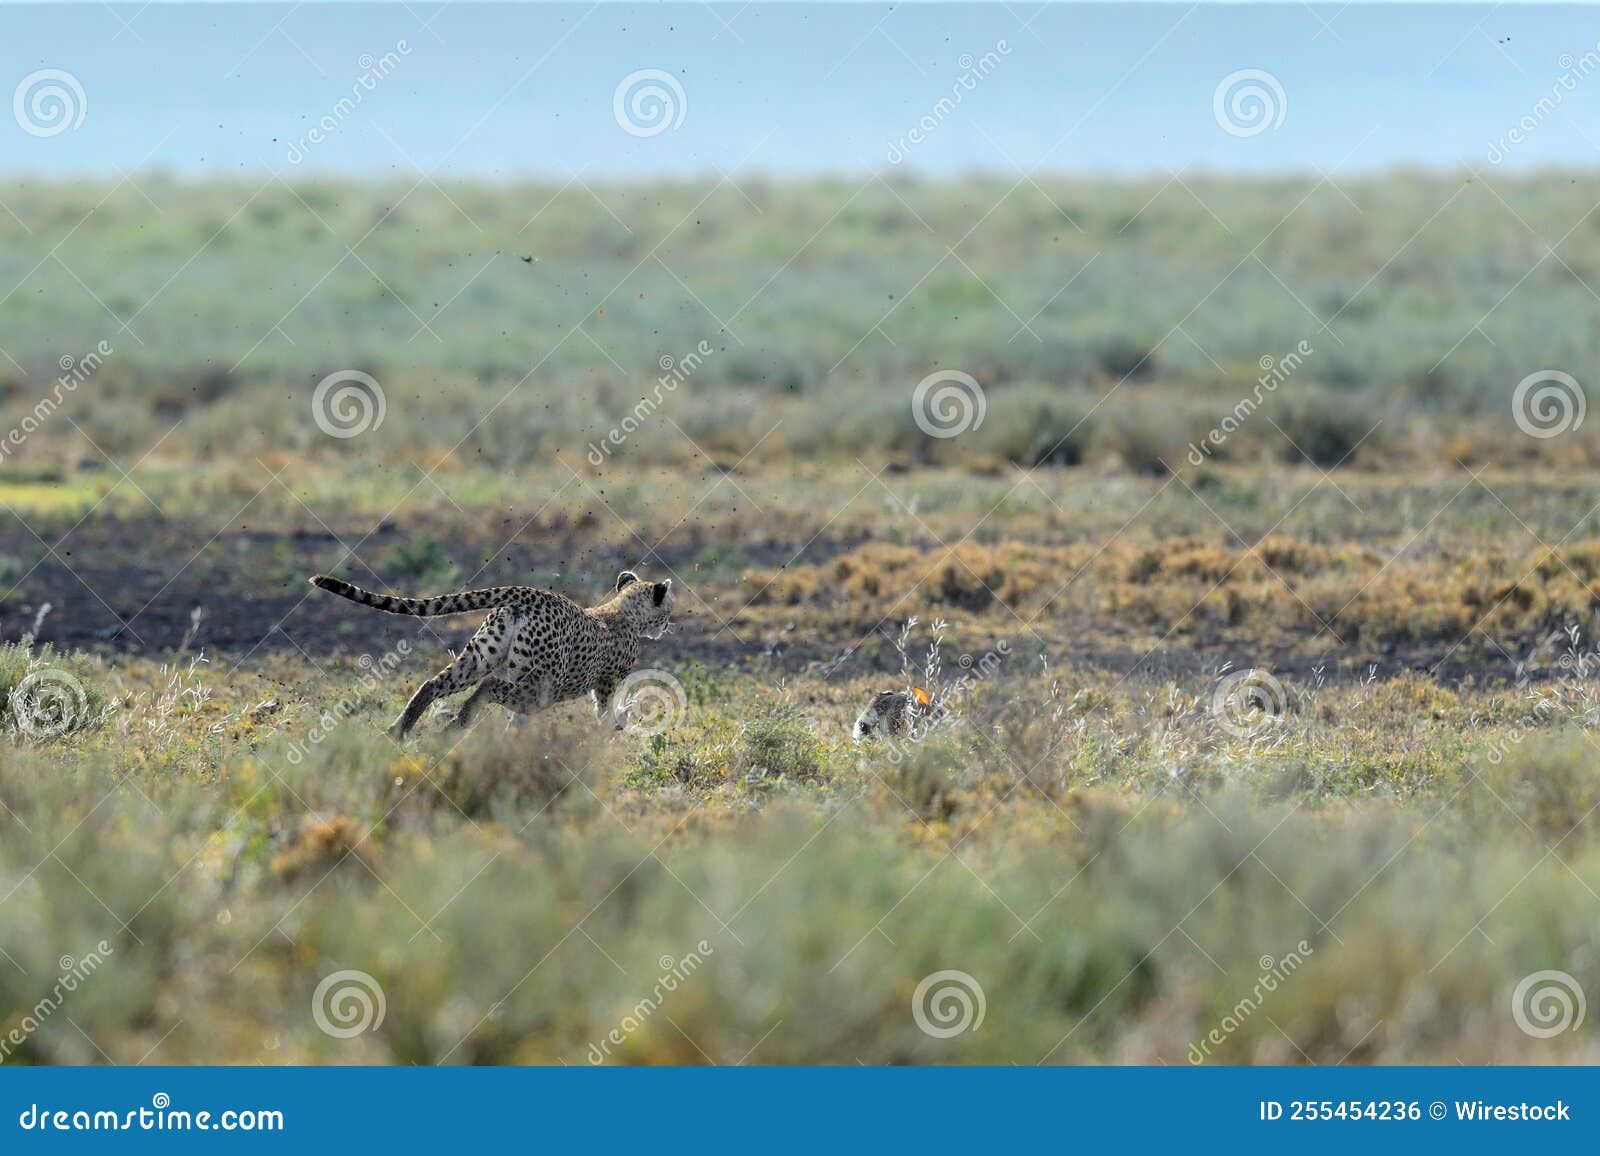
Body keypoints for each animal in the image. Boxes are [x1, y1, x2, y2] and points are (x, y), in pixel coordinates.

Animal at [309, 569, 676, 738]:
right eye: (669, 608)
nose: (670, 624)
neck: (621, 611)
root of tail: (528, 594)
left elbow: (518, 722)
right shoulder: (606, 682)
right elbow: (605, 708)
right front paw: (615, 725)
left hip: (478, 657)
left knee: (432, 684)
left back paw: (399, 732)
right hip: (544, 685)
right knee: (489, 688)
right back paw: (455, 725)